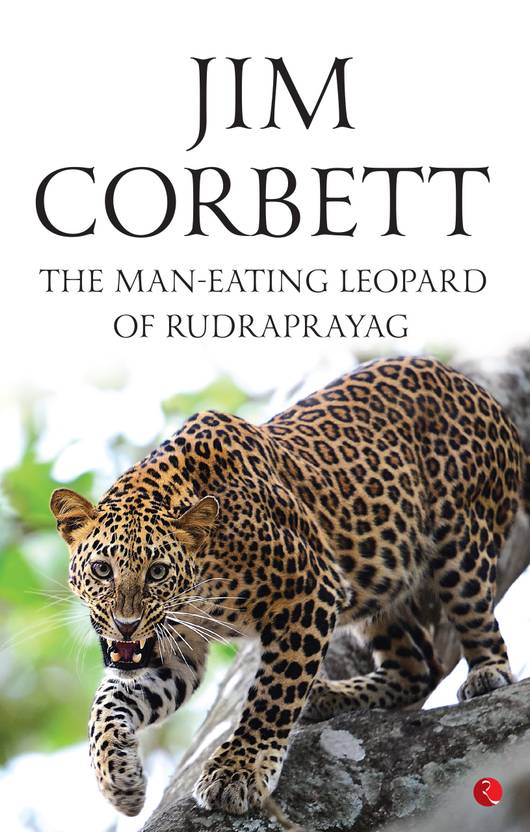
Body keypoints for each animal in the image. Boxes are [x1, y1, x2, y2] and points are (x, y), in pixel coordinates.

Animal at [50, 356, 530, 817]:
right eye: (102, 569)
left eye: (157, 572)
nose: (126, 624)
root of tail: (479, 391)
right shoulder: (175, 647)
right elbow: (108, 703)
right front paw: (118, 778)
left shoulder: (310, 590)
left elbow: (274, 692)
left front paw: (238, 770)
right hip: (379, 582)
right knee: (418, 666)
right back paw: (333, 696)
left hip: (461, 546)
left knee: (476, 620)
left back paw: (486, 673)